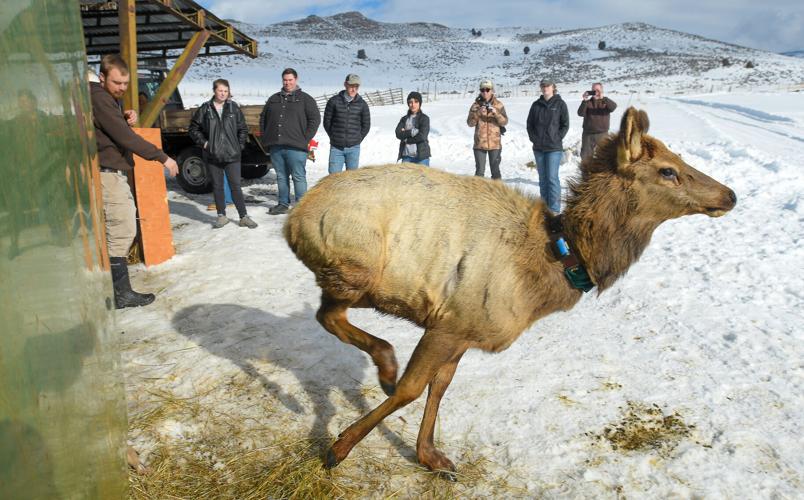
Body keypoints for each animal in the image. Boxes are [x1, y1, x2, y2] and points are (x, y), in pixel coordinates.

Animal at [283, 107, 736, 479]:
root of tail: (293, 220)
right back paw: (384, 367)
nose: (729, 194)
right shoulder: (448, 324)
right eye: (667, 170)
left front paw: (432, 457)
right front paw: (339, 447)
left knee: (329, 315)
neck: (552, 271)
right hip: (354, 271)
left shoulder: (464, 328)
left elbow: (440, 386)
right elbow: (412, 389)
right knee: (328, 315)